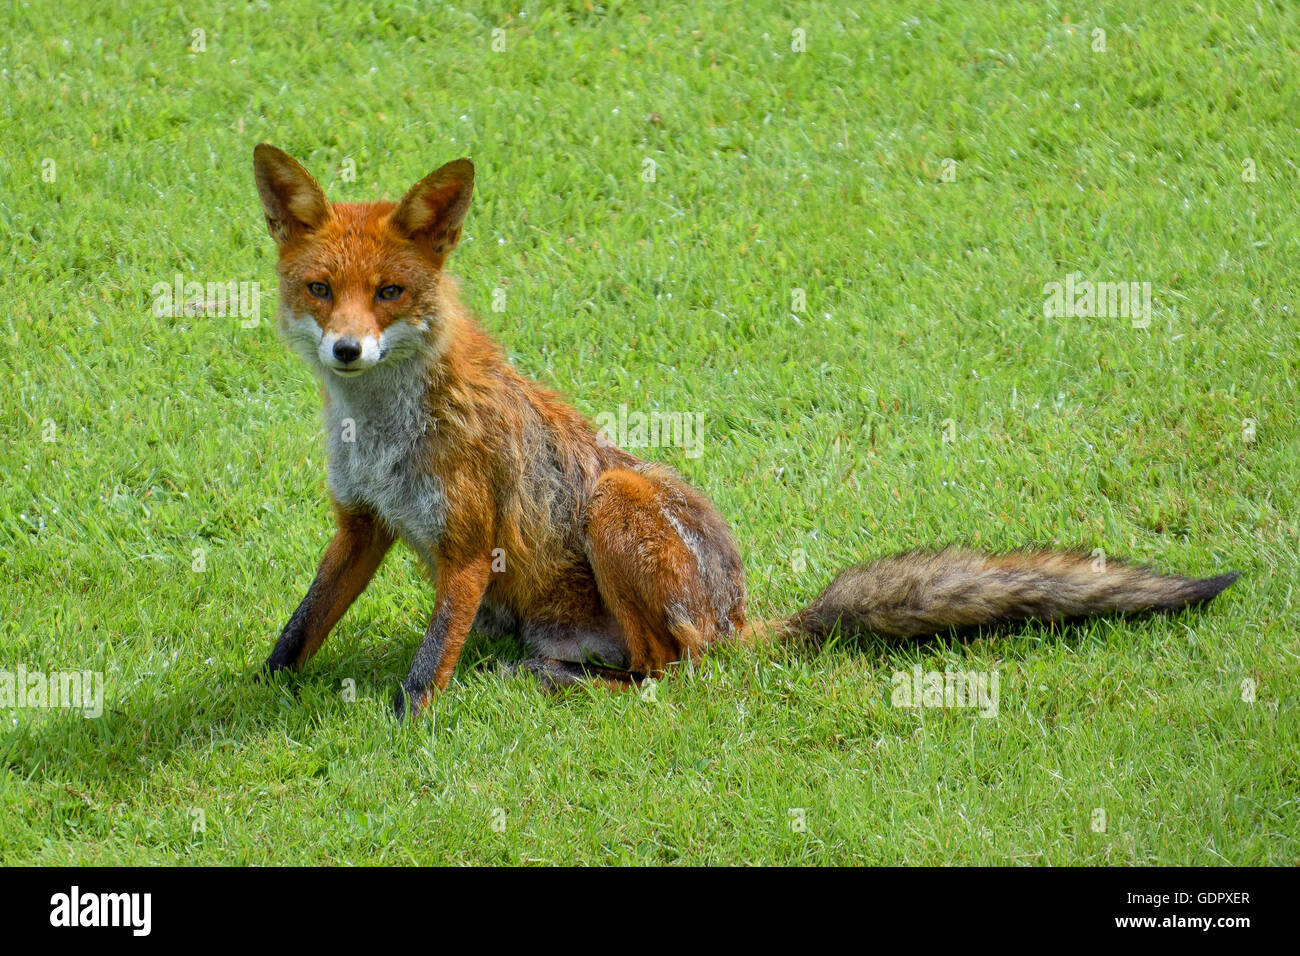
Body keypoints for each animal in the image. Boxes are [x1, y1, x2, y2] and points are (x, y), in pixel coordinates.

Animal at [252, 143, 1238, 720]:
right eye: (319, 290)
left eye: (391, 293)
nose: (346, 349)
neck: (382, 431)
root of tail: (740, 615)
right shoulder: (362, 522)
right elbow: (299, 631)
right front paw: (254, 697)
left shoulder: (465, 550)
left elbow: (424, 675)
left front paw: (405, 732)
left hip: (616, 505)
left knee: (668, 669)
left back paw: (574, 690)